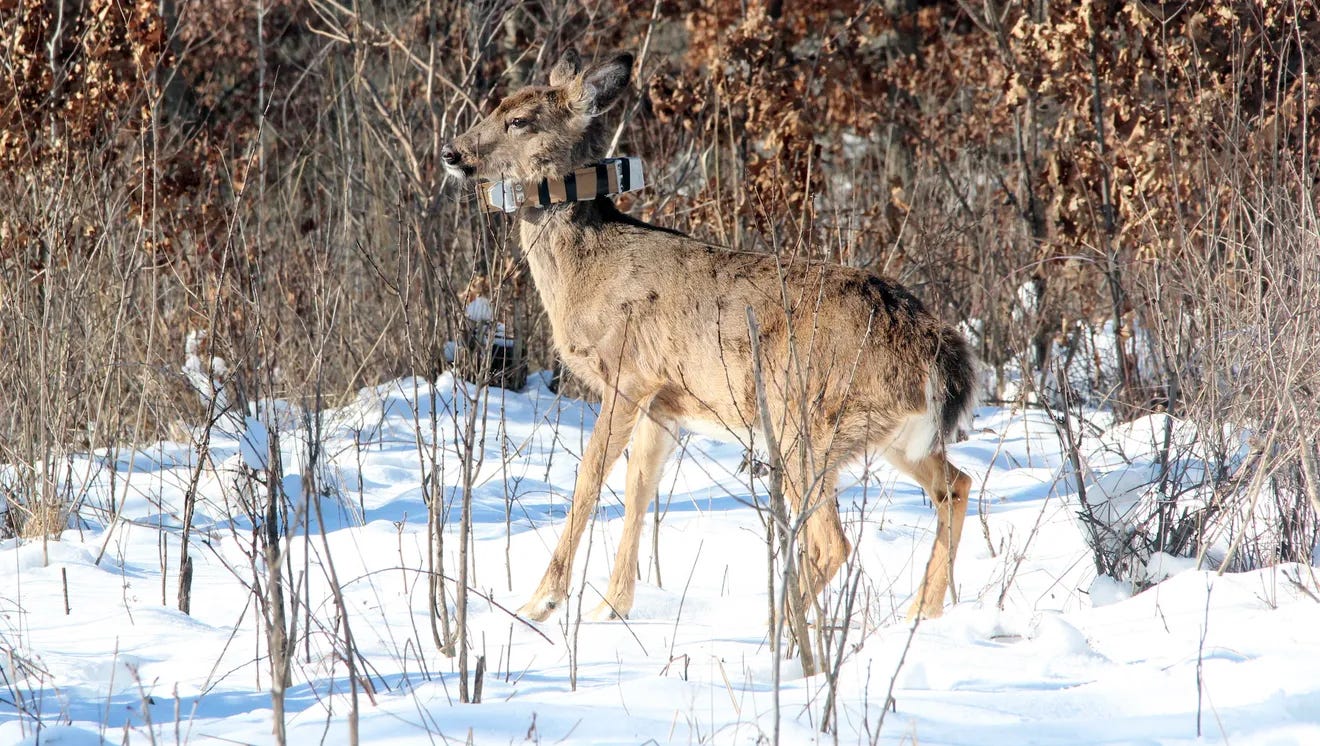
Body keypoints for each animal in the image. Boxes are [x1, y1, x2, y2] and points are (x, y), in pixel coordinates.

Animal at [441, 49, 977, 625]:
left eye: (519, 120)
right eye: (494, 106)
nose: (451, 152)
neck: (586, 273)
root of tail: (940, 353)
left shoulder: (628, 373)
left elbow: (589, 479)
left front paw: (541, 601)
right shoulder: (664, 401)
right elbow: (639, 487)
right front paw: (612, 607)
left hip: (805, 421)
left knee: (831, 540)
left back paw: (779, 624)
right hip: (888, 435)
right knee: (955, 486)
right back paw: (919, 613)